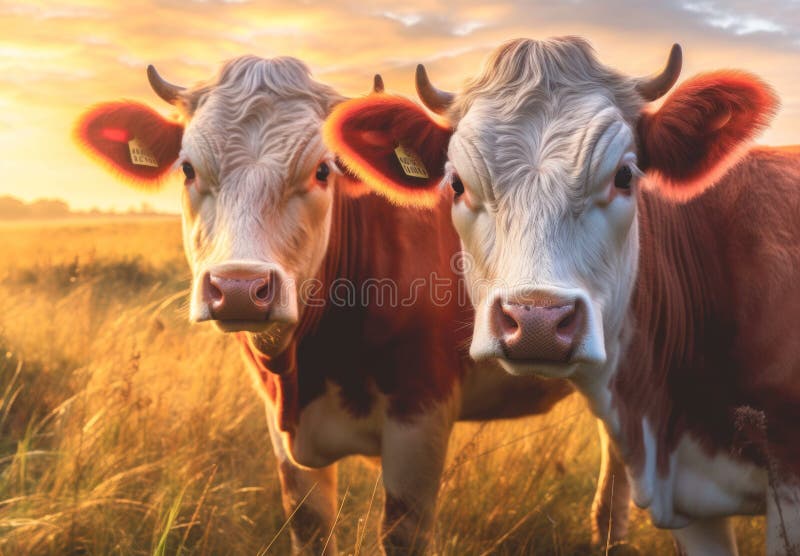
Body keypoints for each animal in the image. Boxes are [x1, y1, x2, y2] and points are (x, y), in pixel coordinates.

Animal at [74, 56, 632, 554]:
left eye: (323, 171)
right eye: (188, 169)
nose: (238, 287)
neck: (307, 370)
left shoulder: (420, 414)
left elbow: (403, 533)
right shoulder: (284, 436)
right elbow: (310, 527)